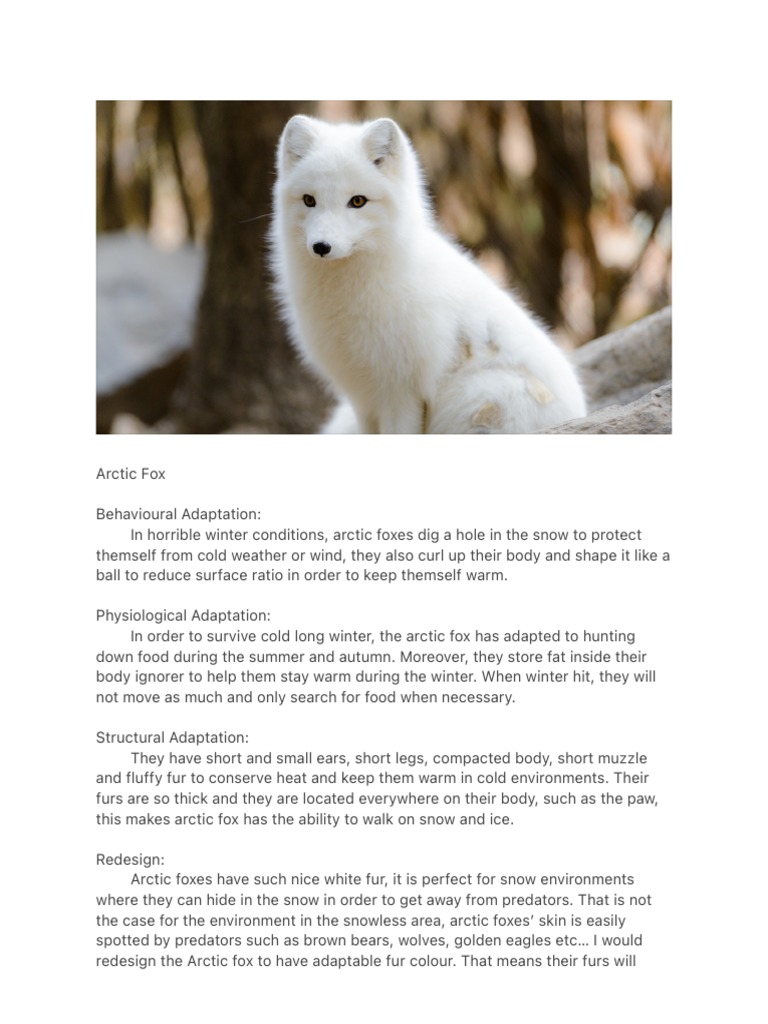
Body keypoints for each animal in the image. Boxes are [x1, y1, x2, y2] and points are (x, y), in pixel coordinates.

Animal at [271, 114, 586, 433]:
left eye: (357, 201)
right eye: (309, 200)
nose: (321, 246)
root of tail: (580, 412)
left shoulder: (401, 391)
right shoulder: (362, 395)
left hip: (477, 397)